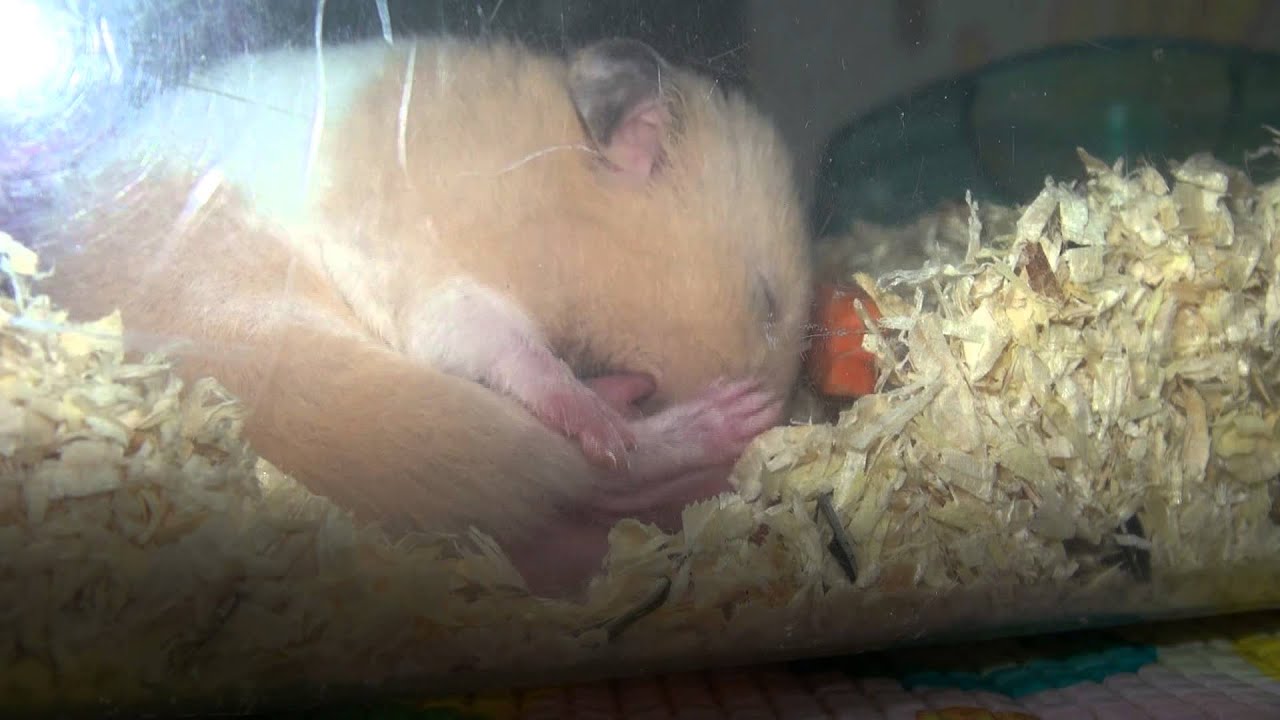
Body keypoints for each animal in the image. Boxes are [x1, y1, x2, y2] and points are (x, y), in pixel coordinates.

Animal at [26, 34, 814, 597]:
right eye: (766, 302)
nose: (776, 416)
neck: (552, 188)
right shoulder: (434, 278)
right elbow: (515, 354)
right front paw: (602, 412)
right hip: (289, 342)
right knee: (581, 468)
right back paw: (684, 425)